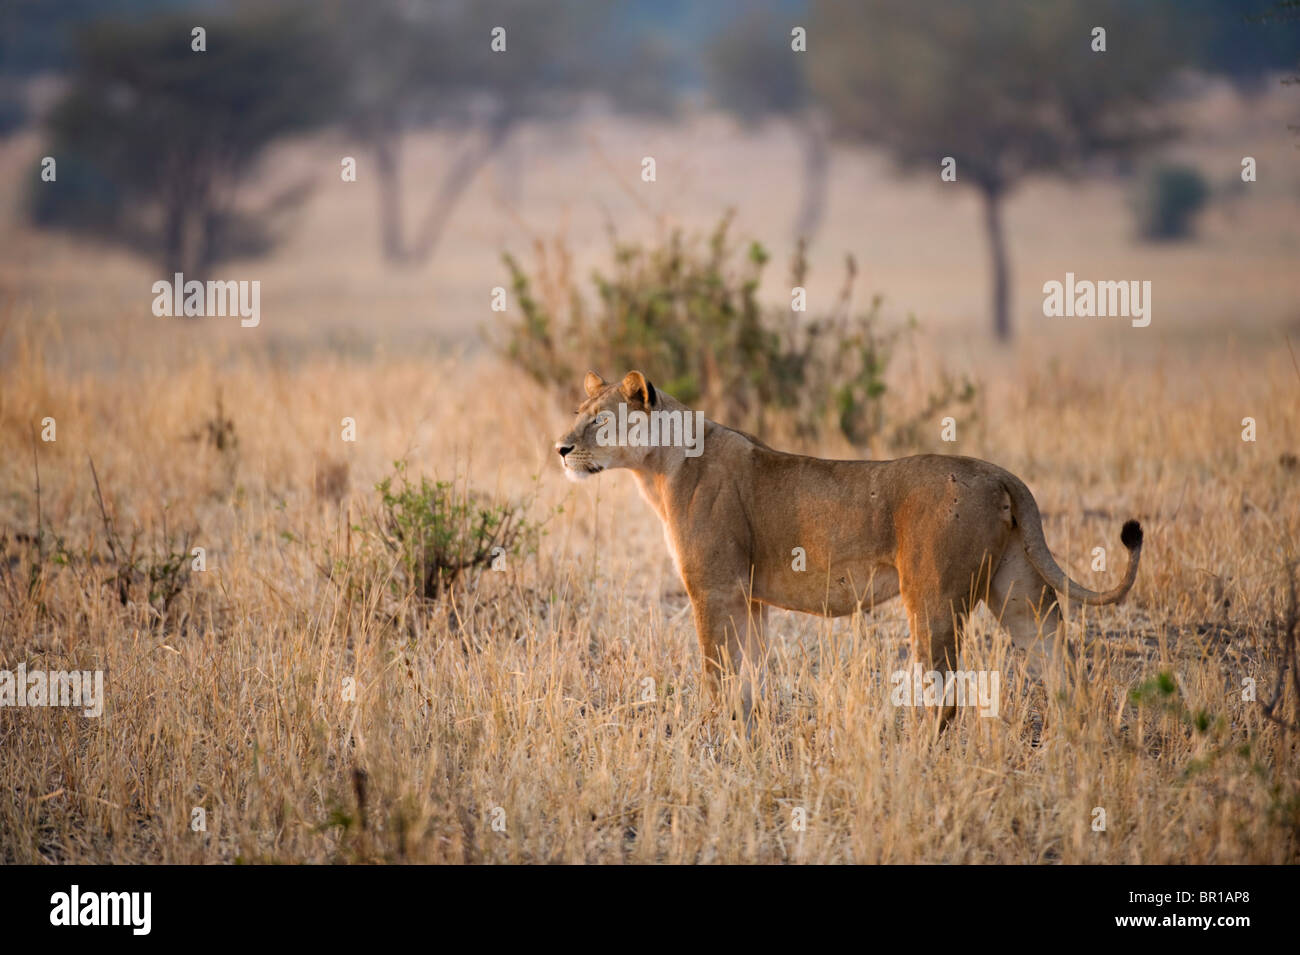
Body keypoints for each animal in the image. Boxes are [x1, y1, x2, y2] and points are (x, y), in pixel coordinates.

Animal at [555, 370, 1143, 734]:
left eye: (599, 420)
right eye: (577, 413)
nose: (560, 448)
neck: (658, 468)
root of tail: (1001, 473)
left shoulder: (713, 590)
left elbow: (716, 673)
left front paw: (709, 736)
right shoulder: (749, 598)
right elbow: (750, 677)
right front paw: (747, 734)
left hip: (932, 596)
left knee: (946, 696)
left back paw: (914, 756)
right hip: (1018, 592)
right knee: (1064, 670)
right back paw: (1080, 745)